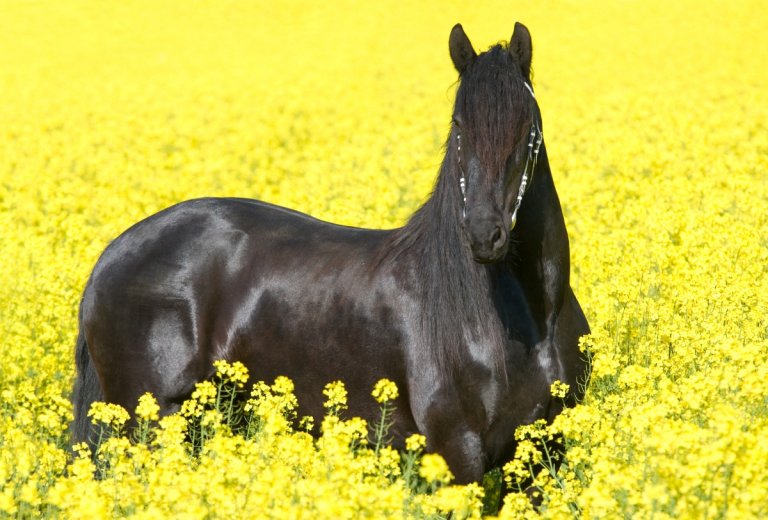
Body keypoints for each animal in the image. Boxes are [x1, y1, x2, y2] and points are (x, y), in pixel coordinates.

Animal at [71, 22, 589, 486]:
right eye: (459, 125)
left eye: (526, 125)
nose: (484, 236)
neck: (527, 316)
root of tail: (110, 255)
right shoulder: (458, 455)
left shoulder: (543, 453)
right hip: (148, 422)